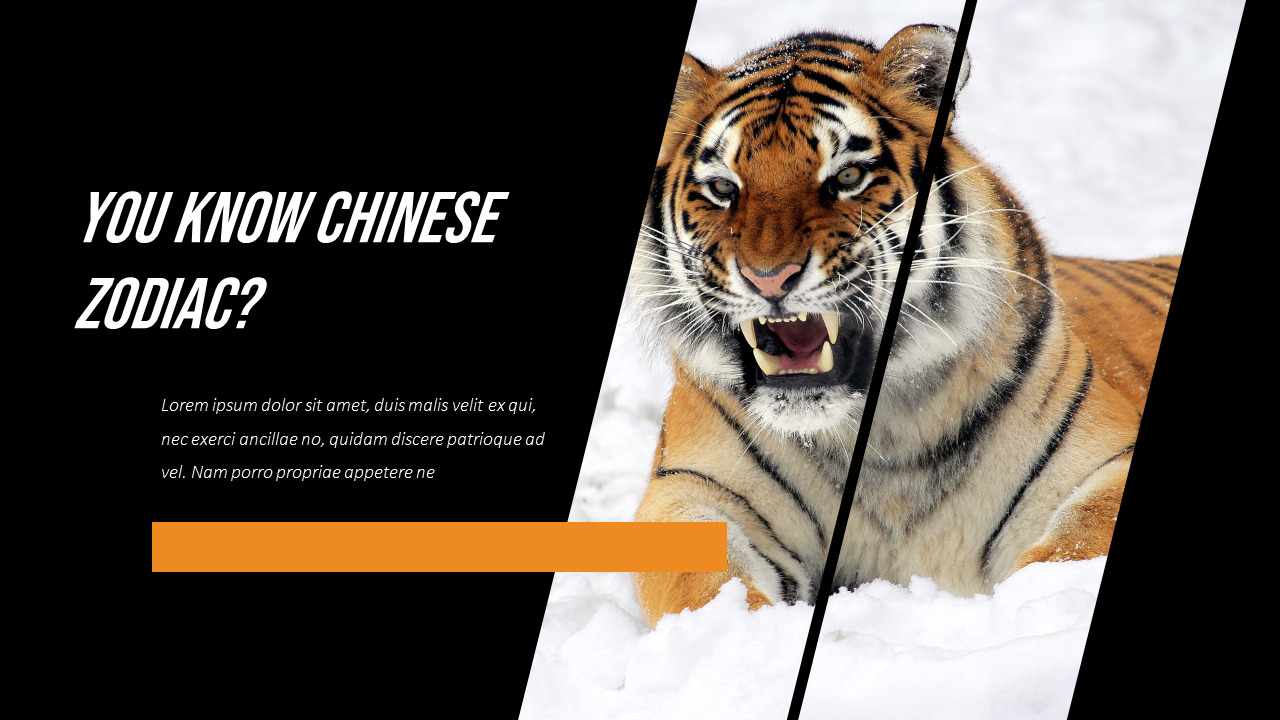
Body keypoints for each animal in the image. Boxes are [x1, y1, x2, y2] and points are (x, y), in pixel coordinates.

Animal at [628, 25, 1179, 627]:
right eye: (724, 189)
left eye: (847, 177)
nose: (769, 278)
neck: (881, 436)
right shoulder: (693, 490)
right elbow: (701, 585)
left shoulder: (1104, 462)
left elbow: (1072, 544)